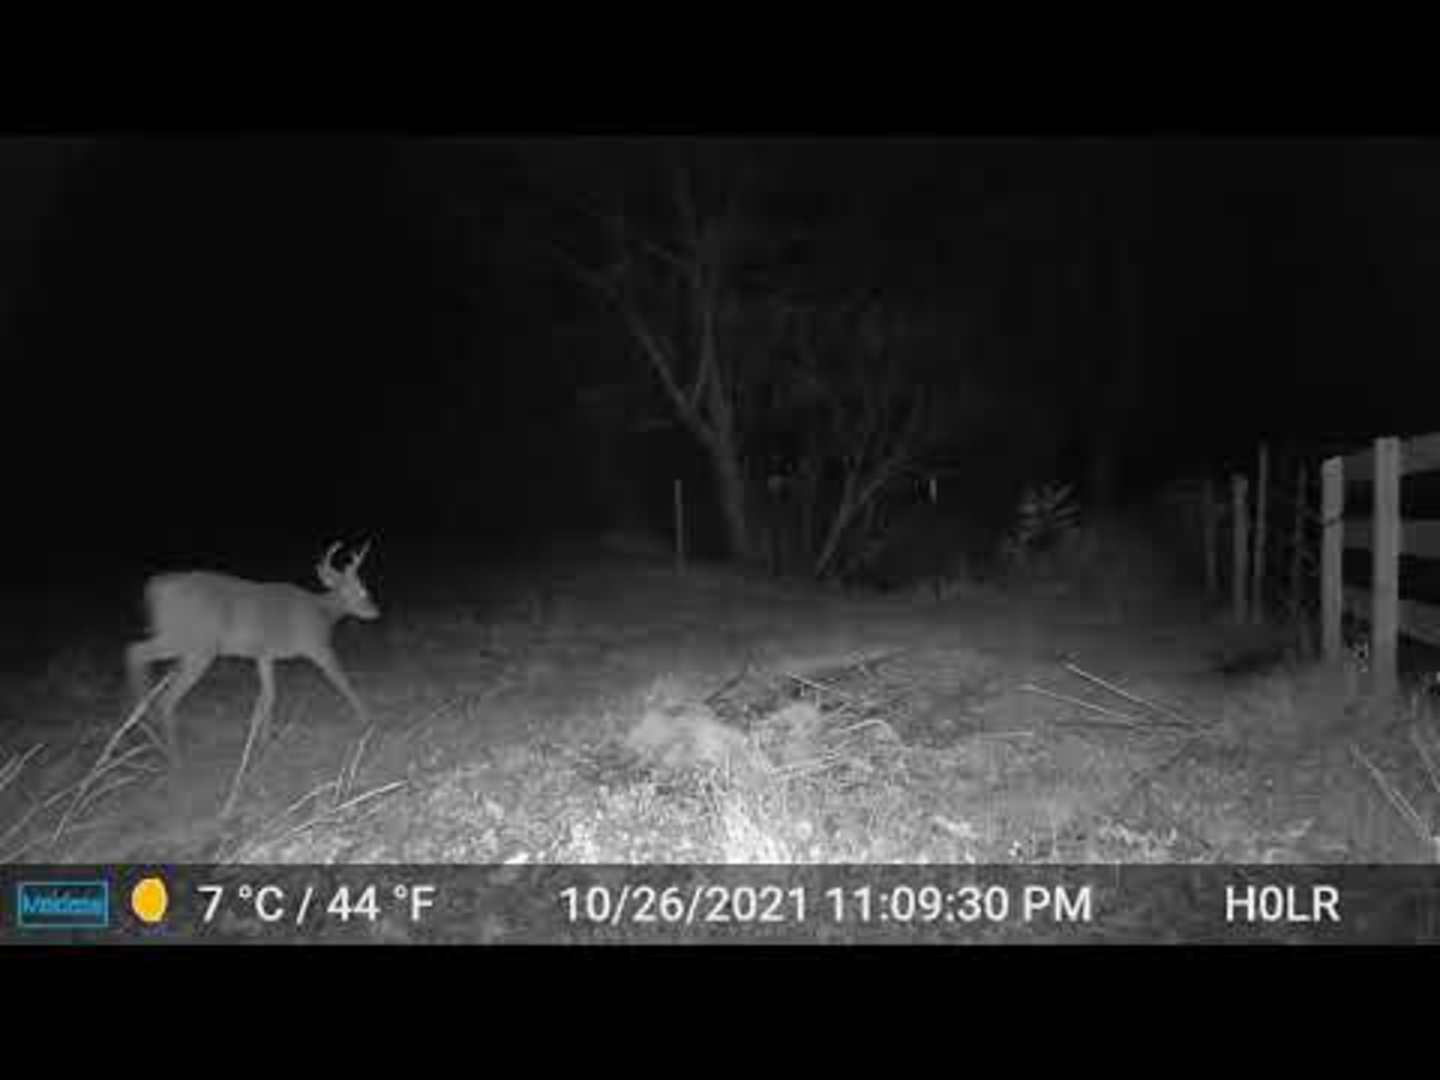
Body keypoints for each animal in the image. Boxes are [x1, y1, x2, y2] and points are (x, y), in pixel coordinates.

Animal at [126, 540, 380, 763]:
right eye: (361, 590)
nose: (375, 611)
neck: (322, 614)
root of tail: (155, 588)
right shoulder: (316, 646)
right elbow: (342, 679)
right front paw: (367, 718)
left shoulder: (264, 654)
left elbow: (269, 695)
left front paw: (263, 740)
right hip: (196, 643)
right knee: (160, 687)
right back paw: (171, 752)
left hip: (179, 639)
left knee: (137, 653)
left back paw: (141, 721)